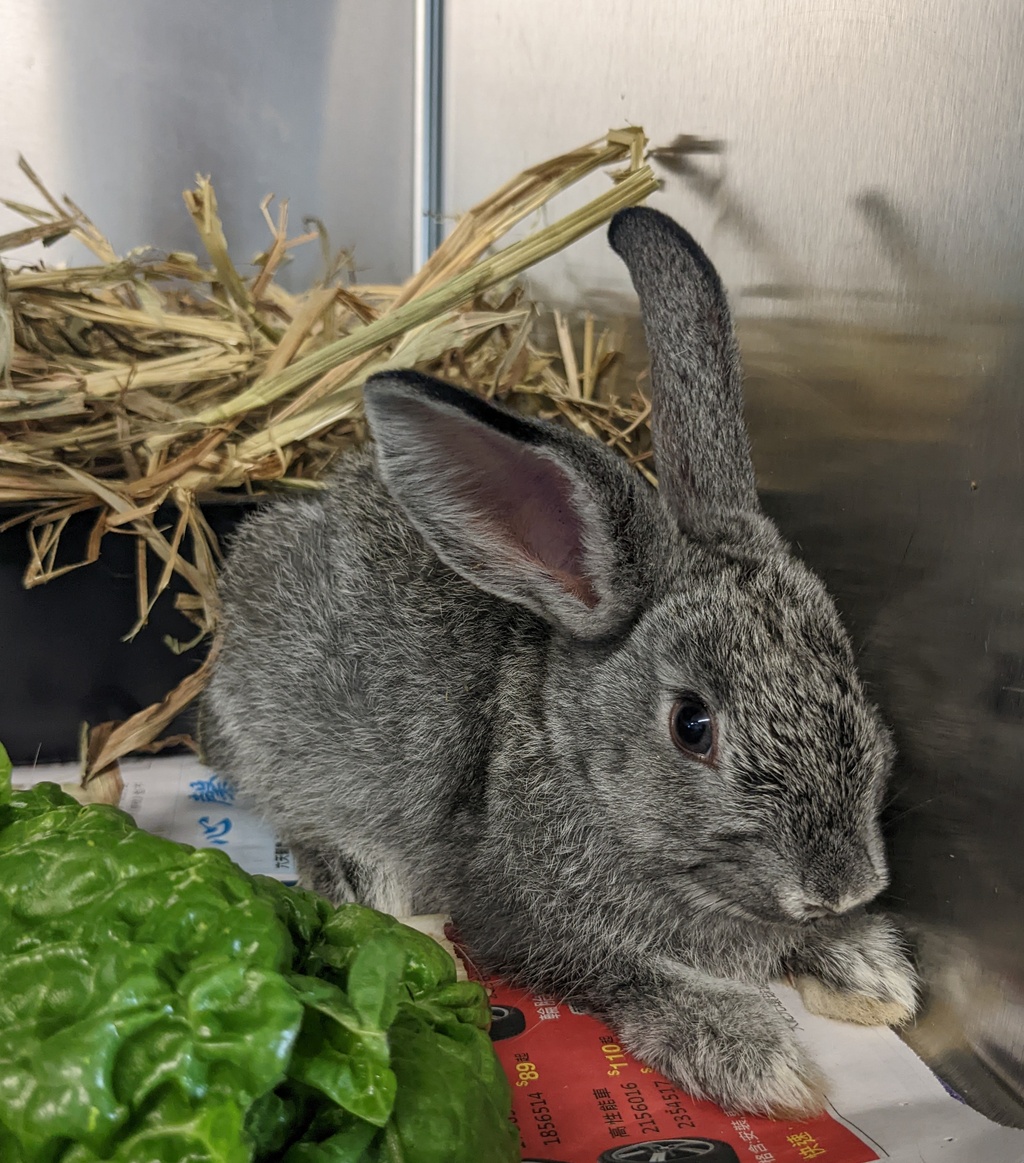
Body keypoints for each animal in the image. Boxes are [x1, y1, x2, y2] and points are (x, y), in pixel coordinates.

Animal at [199, 206, 918, 1118]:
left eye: (846, 673)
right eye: (692, 725)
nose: (843, 884)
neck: (573, 759)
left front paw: (868, 966)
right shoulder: (523, 915)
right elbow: (626, 969)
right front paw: (754, 1053)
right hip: (278, 739)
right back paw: (369, 881)